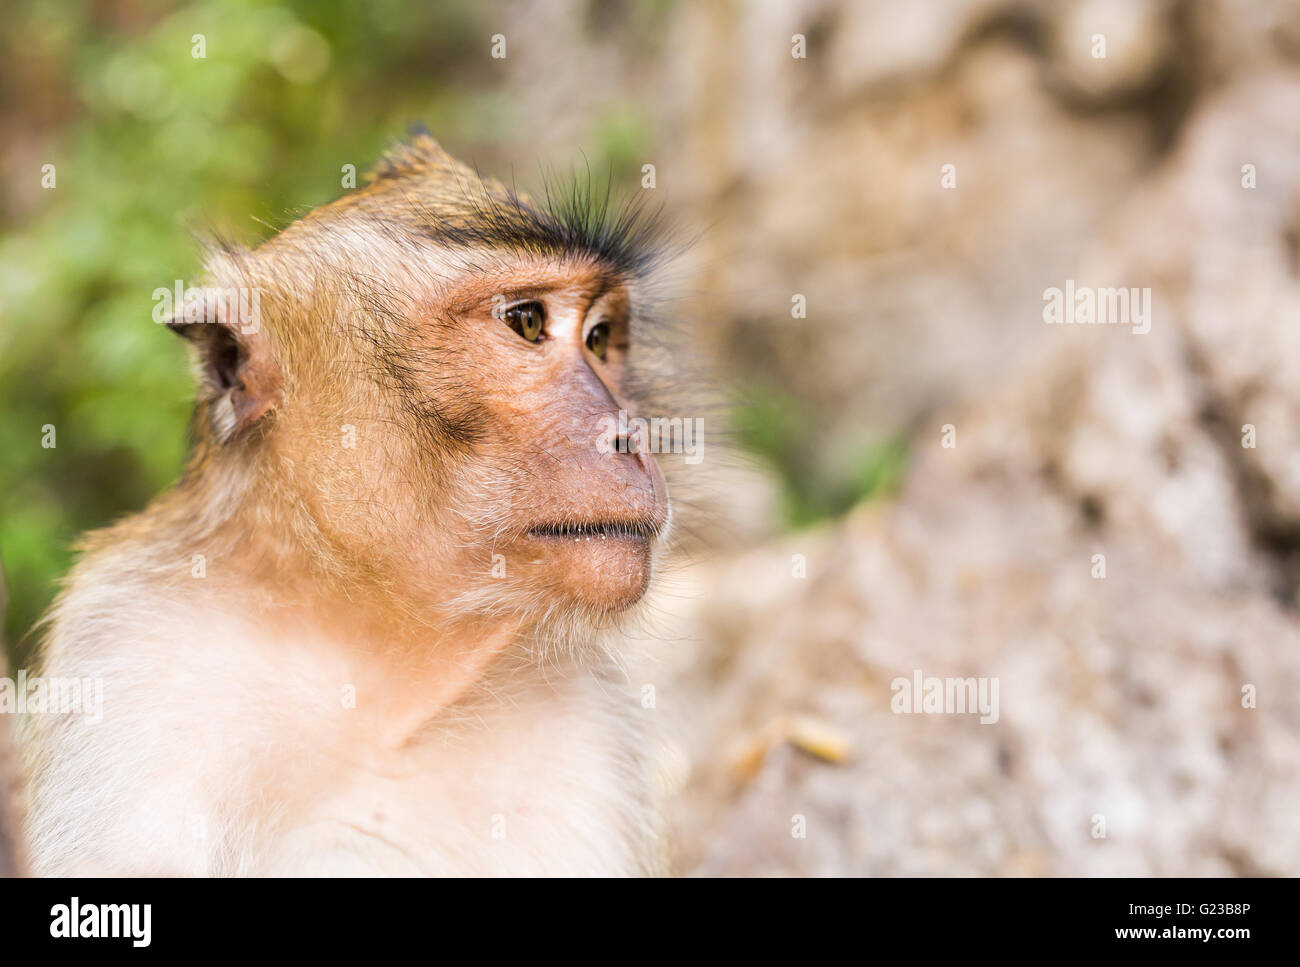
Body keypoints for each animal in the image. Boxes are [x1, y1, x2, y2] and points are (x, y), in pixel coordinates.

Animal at [18, 133, 687, 875]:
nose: (628, 435)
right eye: (527, 322)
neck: (380, 656)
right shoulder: (129, 653)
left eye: (599, 339)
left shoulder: (592, 729)